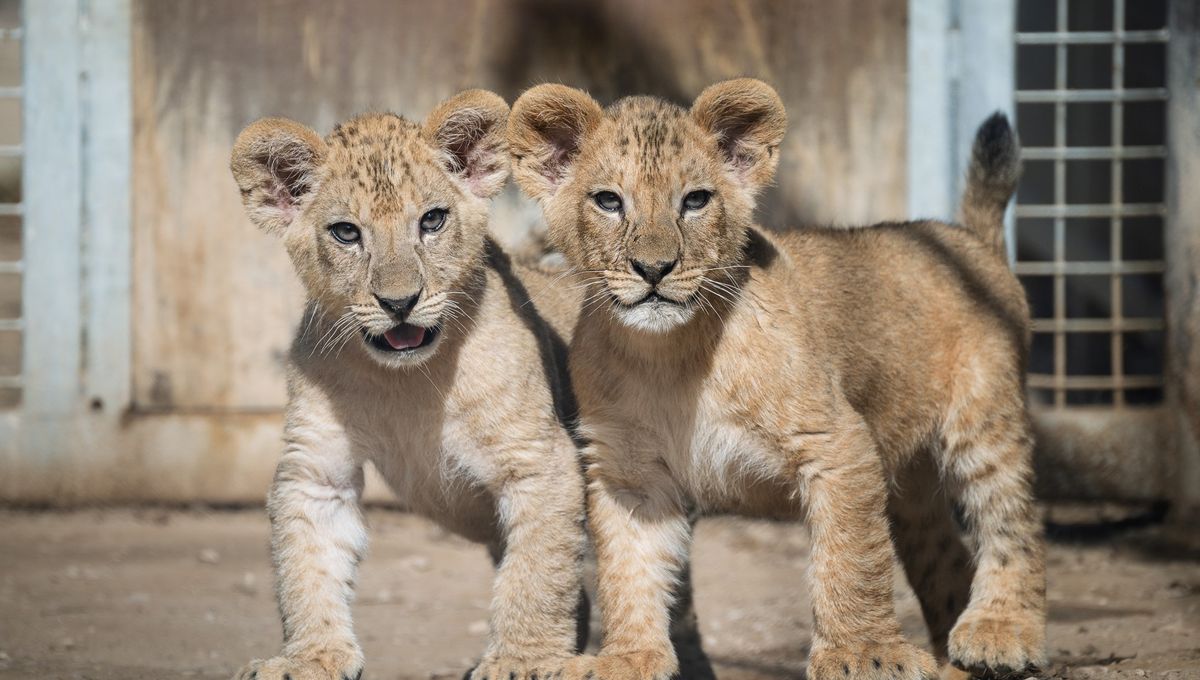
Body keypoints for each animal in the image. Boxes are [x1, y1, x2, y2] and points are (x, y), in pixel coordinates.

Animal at [227, 90, 589, 680]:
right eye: (347, 232)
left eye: (432, 220)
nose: (399, 303)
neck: (410, 381)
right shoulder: (317, 468)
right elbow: (307, 568)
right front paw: (310, 659)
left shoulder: (539, 458)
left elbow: (538, 573)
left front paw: (524, 660)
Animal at [508, 78, 1046, 680]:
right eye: (608, 201)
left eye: (695, 200)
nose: (654, 269)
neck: (670, 355)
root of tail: (970, 242)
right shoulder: (629, 473)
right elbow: (629, 570)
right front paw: (626, 658)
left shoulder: (839, 443)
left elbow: (850, 558)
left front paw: (862, 652)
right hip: (913, 483)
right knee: (947, 562)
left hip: (983, 421)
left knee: (1014, 524)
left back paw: (999, 633)